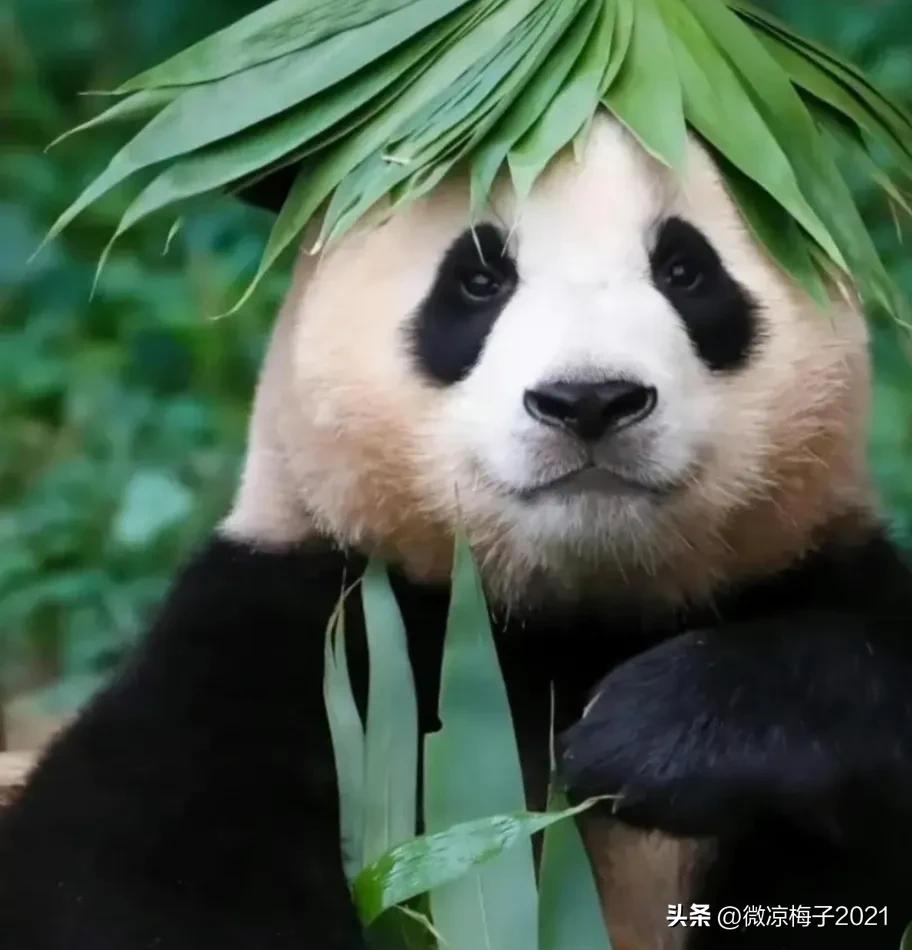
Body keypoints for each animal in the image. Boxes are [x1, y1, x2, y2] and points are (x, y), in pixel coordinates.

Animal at [2, 116, 912, 950]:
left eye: (685, 271)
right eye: (478, 280)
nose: (589, 401)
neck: (573, 620)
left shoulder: (811, 572)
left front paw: (654, 734)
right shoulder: (296, 632)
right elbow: (128, 870)